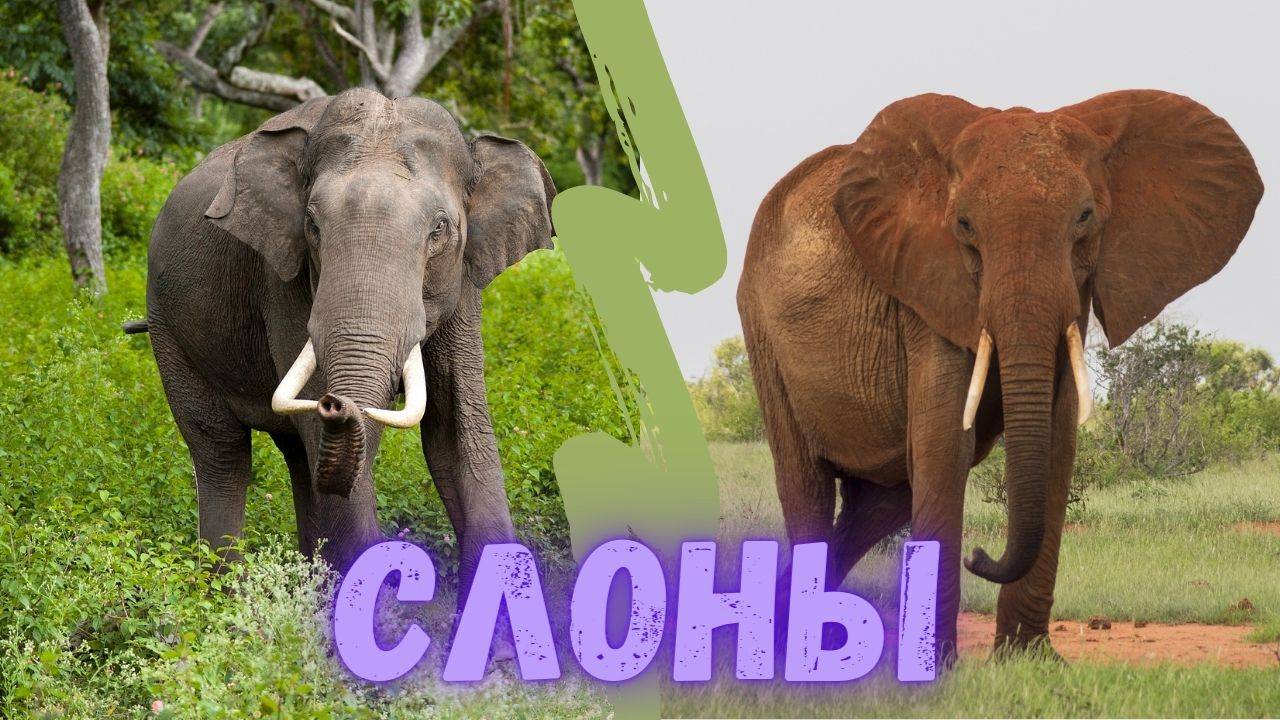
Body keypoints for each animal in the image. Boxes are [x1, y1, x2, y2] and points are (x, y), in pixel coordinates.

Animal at [132, 87, 555, 597]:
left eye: (440, 229)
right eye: (313, 225)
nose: (337, 404)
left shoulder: (465, 279)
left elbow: (457, 429)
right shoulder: (283, 277)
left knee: (298, 456)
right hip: (167, 327)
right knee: (222, 451)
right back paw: (226, 594)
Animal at [737, 90, 1262, 661]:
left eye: (1085, 217)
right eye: (965, 226)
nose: (979, 555)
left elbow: (1055, 441)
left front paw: (1030, 661)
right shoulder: (927, 289)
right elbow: (947, 442)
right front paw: (937, 666)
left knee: (877, 507)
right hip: (762, 335)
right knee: (808, 486)